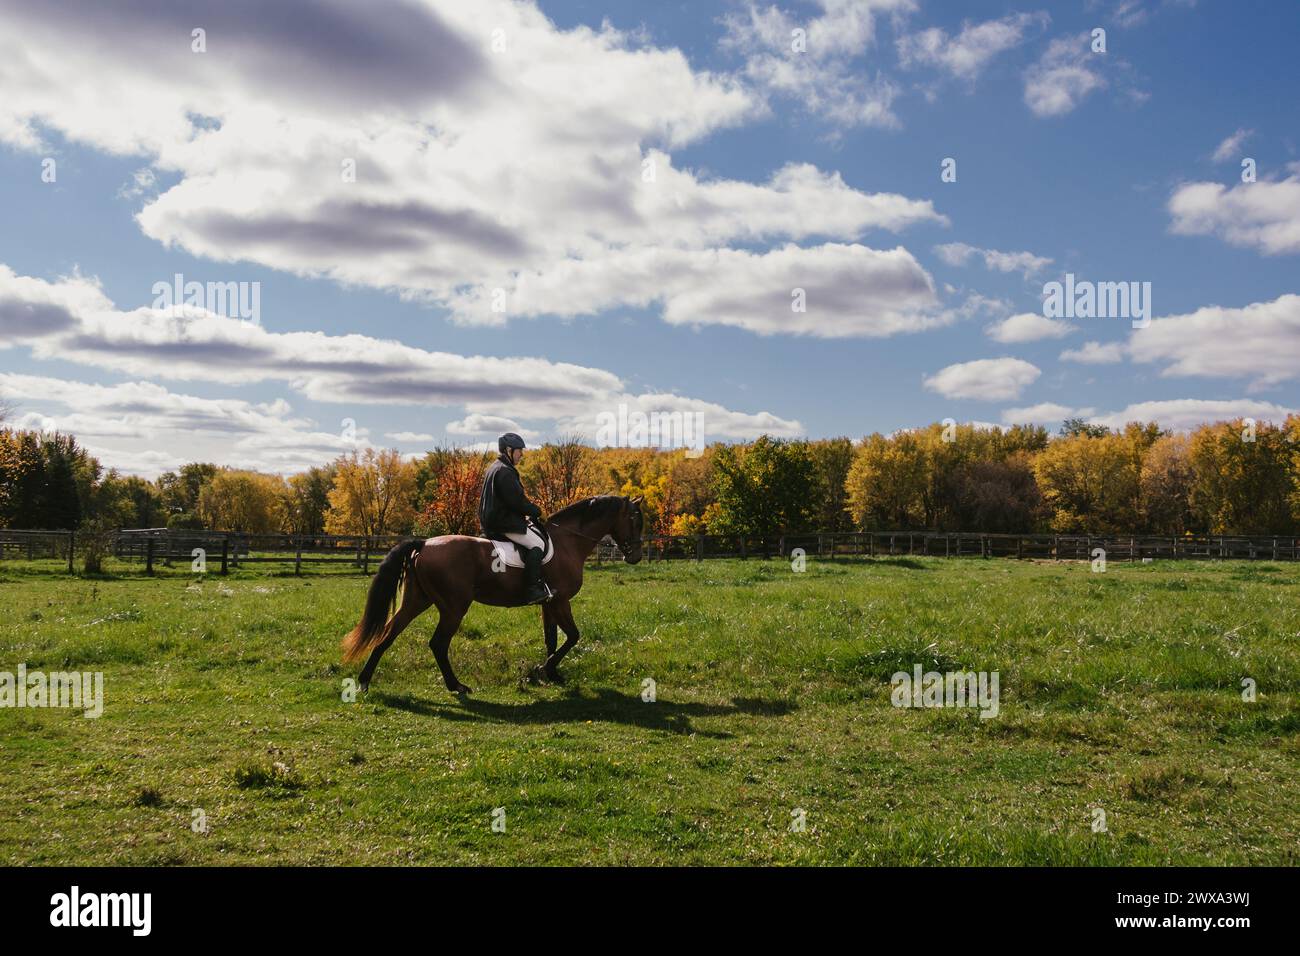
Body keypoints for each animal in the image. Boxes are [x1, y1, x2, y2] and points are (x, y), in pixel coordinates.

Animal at [341, 494, 644, 694]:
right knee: (438, 643)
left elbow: (552, 639)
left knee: (389, 633)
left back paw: (365, 680)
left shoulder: (549, 603)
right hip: (453, 607)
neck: (567, 542)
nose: (636, 556)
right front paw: (544, 670)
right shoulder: (560, 601)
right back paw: (456, 685)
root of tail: (425, 543)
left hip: (417, 601)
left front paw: (552, 674)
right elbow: (572, 636)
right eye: (634, 519)